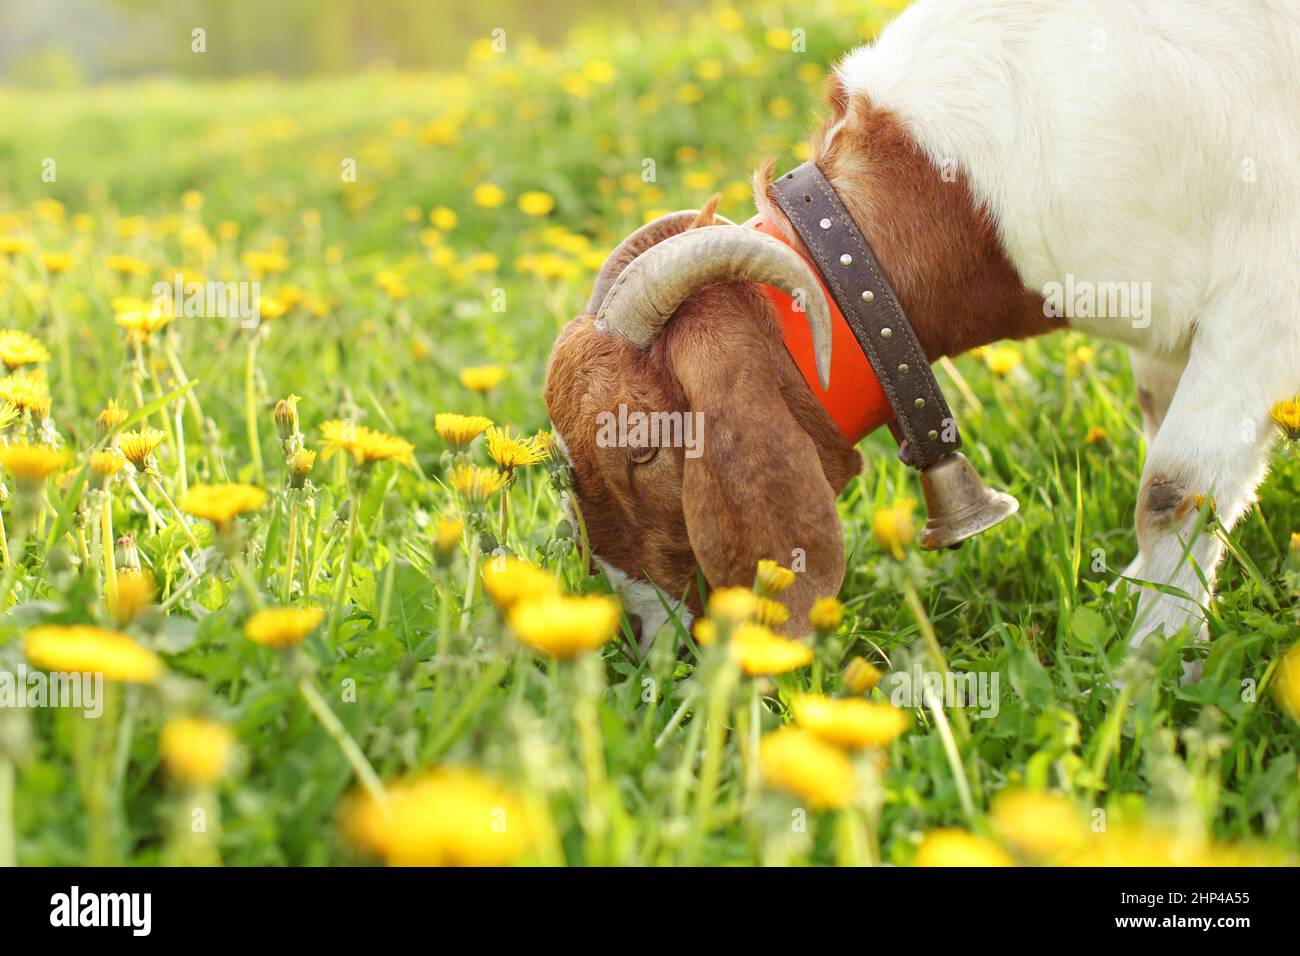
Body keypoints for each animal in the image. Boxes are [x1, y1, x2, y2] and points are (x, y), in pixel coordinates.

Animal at [544, 0, 1300, 658]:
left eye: (642, 449)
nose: (638, 636)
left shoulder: (1262, 305)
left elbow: (1173, 487)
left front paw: (1153, 656)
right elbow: (1156, 418)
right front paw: (1137, 595)